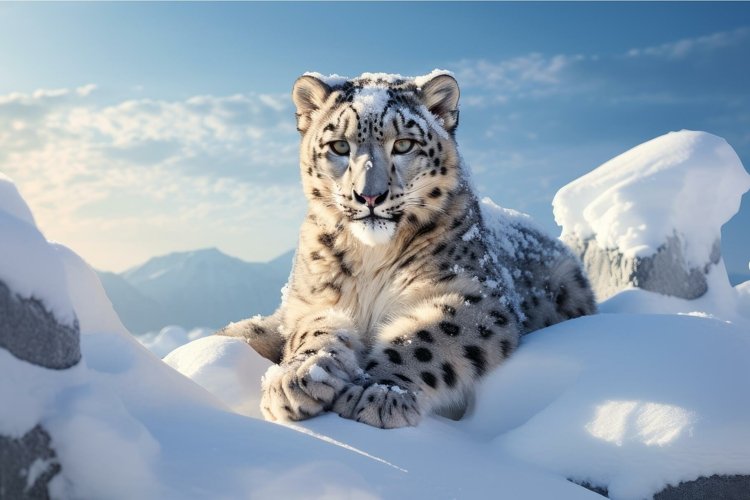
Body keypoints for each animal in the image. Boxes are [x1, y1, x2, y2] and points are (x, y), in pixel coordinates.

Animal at [217, 70, 596, 429]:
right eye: (339, 146)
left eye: (403, 144)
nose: (369, 196)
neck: (370, 258)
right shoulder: (316, 298)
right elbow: (314, 329)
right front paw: (300, 377)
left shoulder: (474, 295)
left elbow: (425, 341)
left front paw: (378, 391)